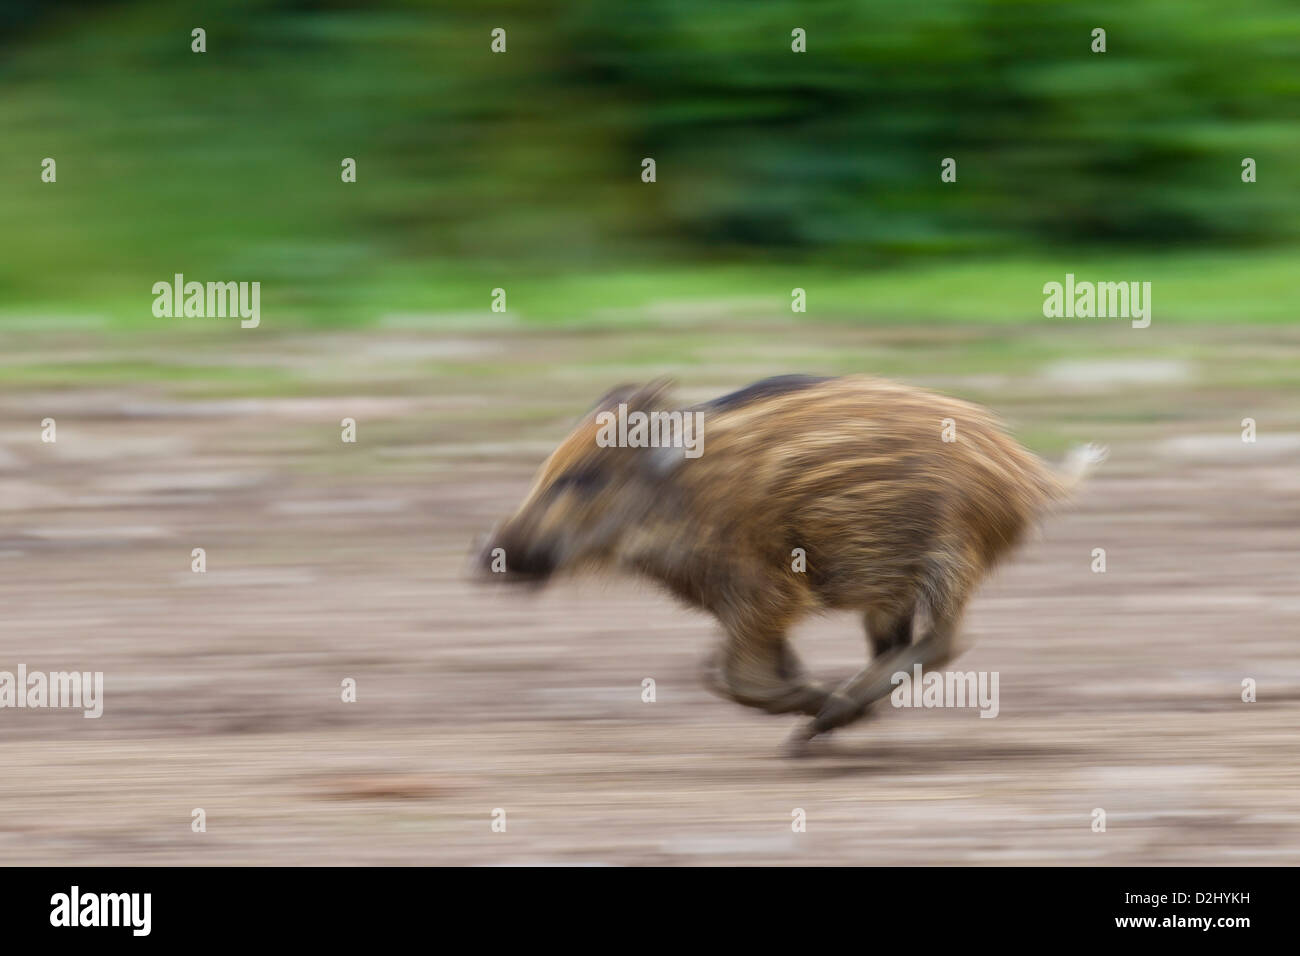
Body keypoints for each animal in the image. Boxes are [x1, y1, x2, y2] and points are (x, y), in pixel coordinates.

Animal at [479, 374, 1104, 751]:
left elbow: (734, 676)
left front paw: (813, 712)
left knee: (945, 642)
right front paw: (815, 703)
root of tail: (1027, 471)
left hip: (948, 558)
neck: (681, 502)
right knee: (901, 645)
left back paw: (826, 722)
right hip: (892, 587)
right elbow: (730, 673)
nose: (487, 556)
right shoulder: (747, 606)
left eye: (581, 479)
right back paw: (841, 716)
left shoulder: (762, 592)